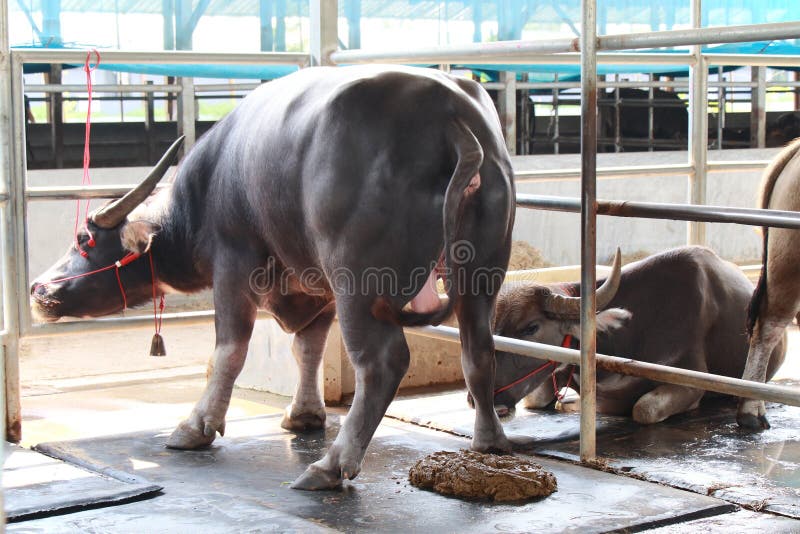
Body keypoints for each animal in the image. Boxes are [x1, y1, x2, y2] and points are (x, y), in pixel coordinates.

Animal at [30, 65, 516, 490]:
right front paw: (304, 414)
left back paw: (330, 466)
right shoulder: (314, 287)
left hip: (359, 285)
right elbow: (308, 348)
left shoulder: (233, 264)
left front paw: (196, 425)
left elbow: (227, 352)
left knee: (382, 363)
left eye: (84, 239)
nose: (38, 289)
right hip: (482, 274)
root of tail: (452, 119)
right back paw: (489, 440)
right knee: (479, 349)